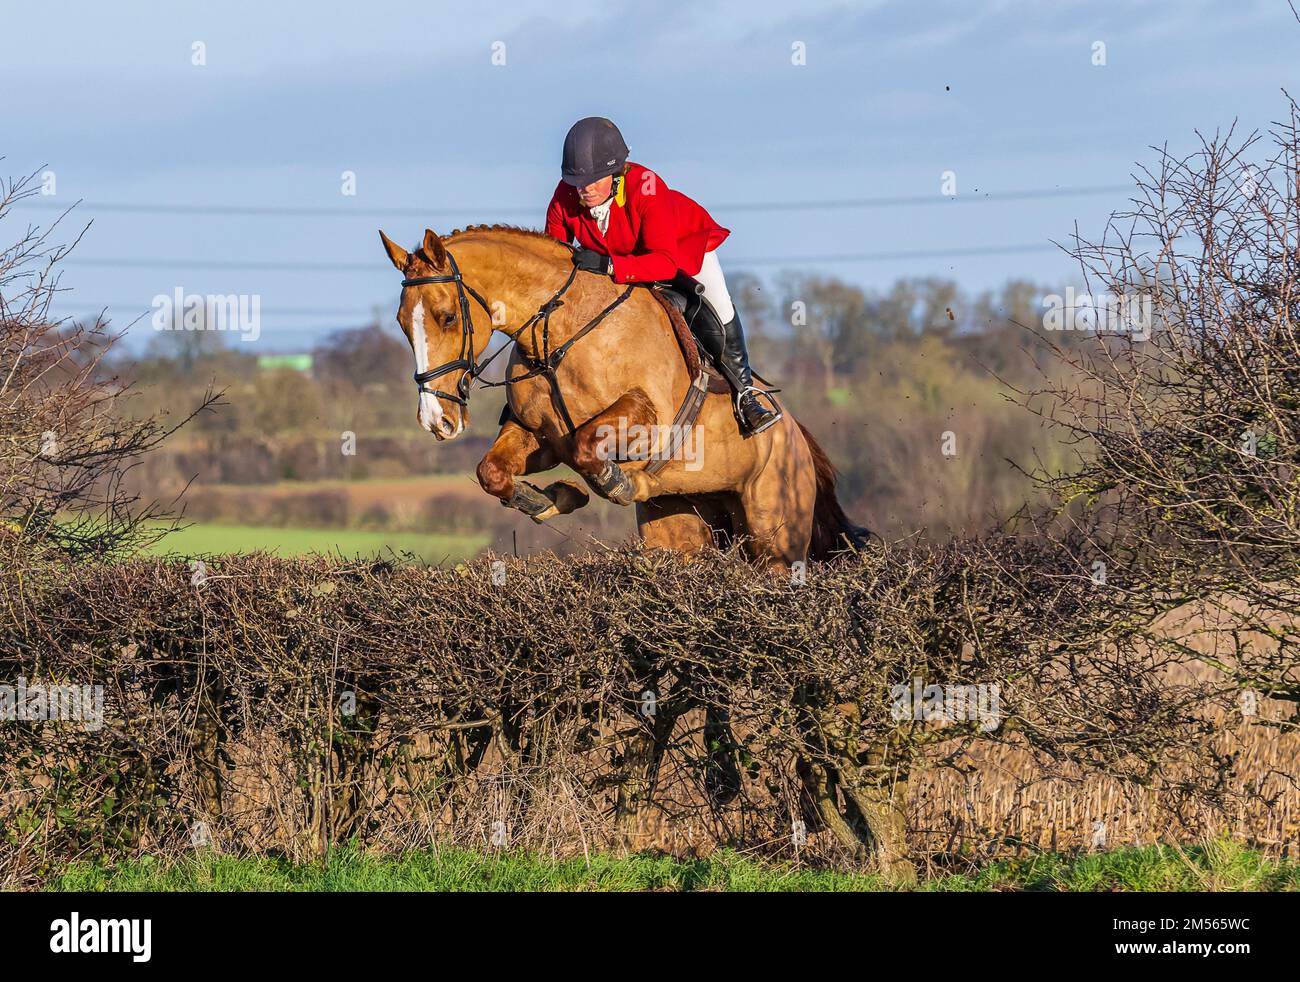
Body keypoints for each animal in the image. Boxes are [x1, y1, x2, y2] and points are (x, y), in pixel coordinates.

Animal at [378, 225, 867, 568]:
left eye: (446, 317)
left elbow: (587, 447)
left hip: (773, 535)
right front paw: (553, 499)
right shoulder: (539, 436)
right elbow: (493, 471)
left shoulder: (647, 418)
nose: (436, 420)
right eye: (402, 324)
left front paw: (618, 483)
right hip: (681, 529)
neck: (560, 333)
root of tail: (795, 432)